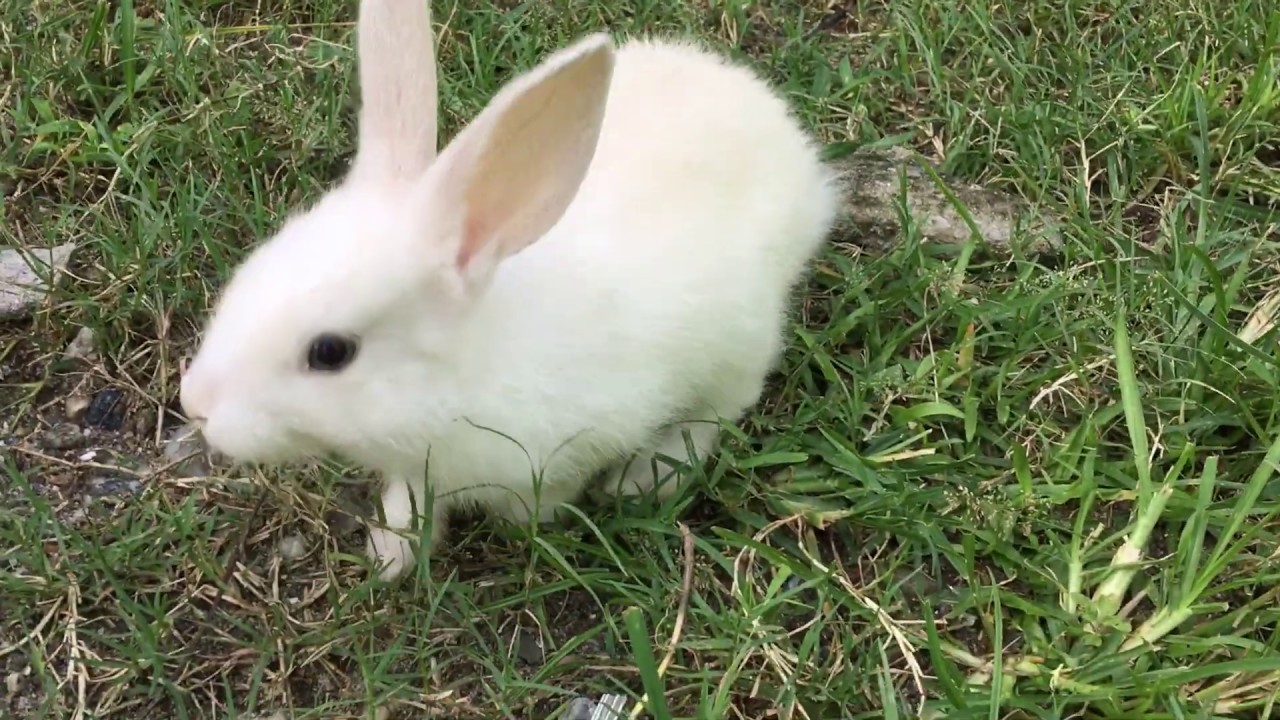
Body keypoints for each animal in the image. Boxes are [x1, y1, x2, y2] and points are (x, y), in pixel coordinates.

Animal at [178, 0, 841, 582]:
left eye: (330, 352)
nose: (197, 404)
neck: (465, 373)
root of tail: (794, 151)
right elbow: (409, 503)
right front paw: (390, 556)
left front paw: (529, 526)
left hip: (739, 345)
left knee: (713, 417)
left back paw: (644, 479)